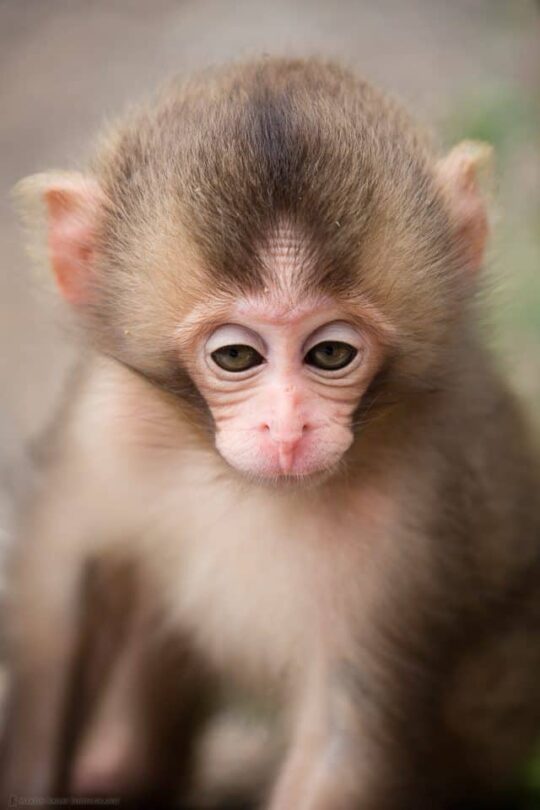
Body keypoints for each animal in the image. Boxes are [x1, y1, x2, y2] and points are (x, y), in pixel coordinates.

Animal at [1, 56, 540, 809]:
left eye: (331, 354)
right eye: (236, 356)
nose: (287, 430)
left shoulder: (416, 501)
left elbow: (345, 736)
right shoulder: (104, 426)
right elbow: (63, 608)